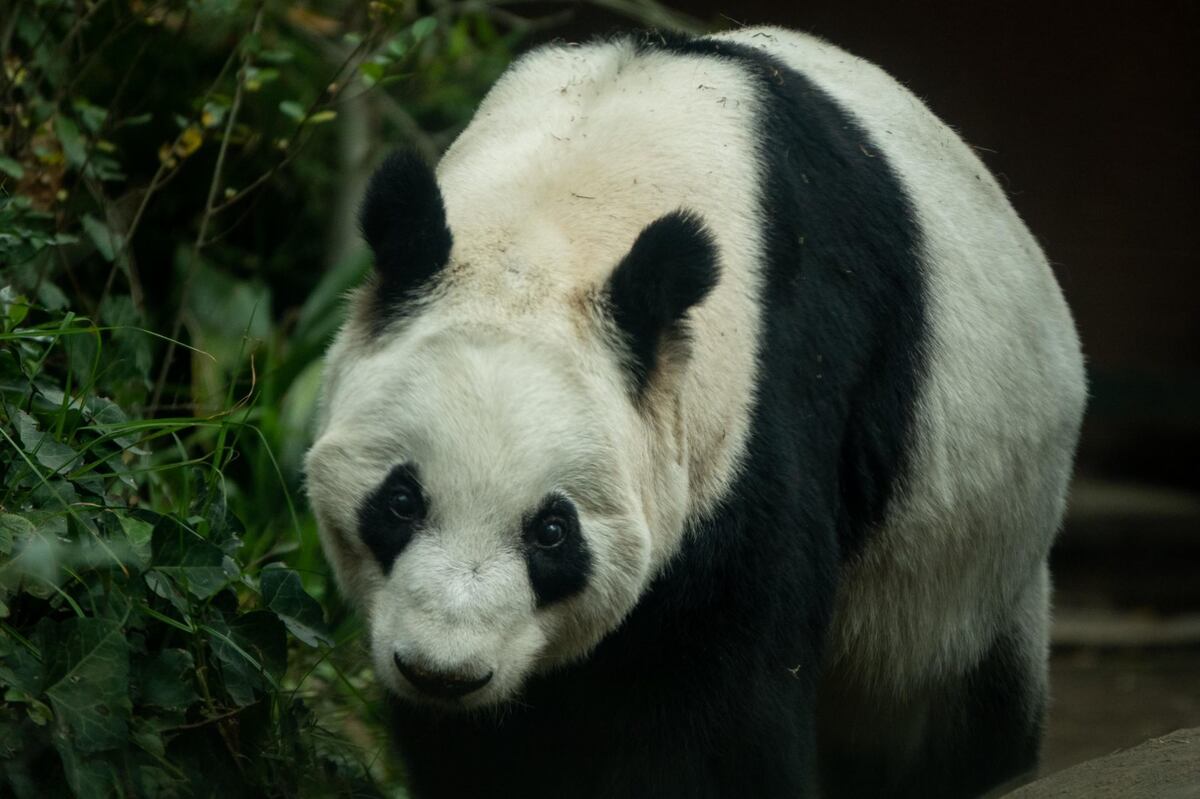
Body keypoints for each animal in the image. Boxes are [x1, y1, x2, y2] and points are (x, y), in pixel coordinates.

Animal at [303, 26, 1086, 799]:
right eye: (401, 500)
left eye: (552, 530)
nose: (443, 672)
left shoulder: (765, 393)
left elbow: (718, 711)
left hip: (962, 578)